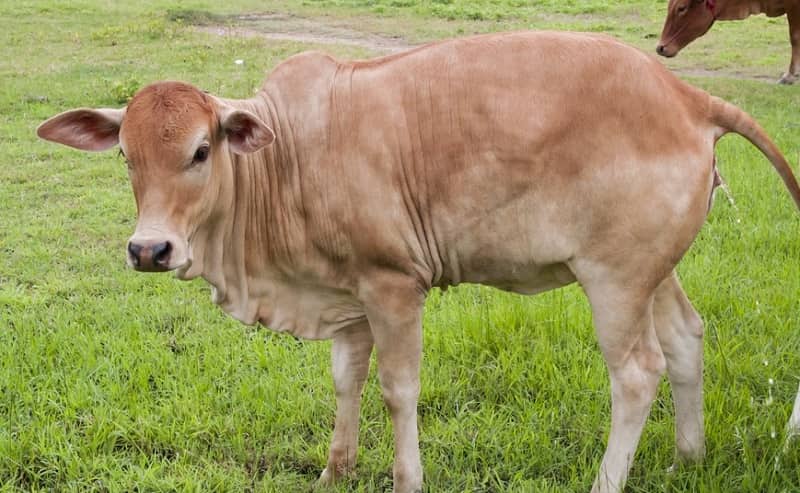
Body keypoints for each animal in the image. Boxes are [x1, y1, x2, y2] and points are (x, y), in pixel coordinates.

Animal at [37, 31, 800, 493]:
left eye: (200, 150)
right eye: (126, 156)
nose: (149, 248)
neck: (284, 159)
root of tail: (686, 95)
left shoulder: (394, 286)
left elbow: (397, 390)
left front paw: (406, 476)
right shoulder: (345, 295)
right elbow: (345, 380)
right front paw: (334, 470)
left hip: (613, 279)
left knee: (638, 373)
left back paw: (608, 480)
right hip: (651, 272)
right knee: (686, 339)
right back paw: (687, 456)